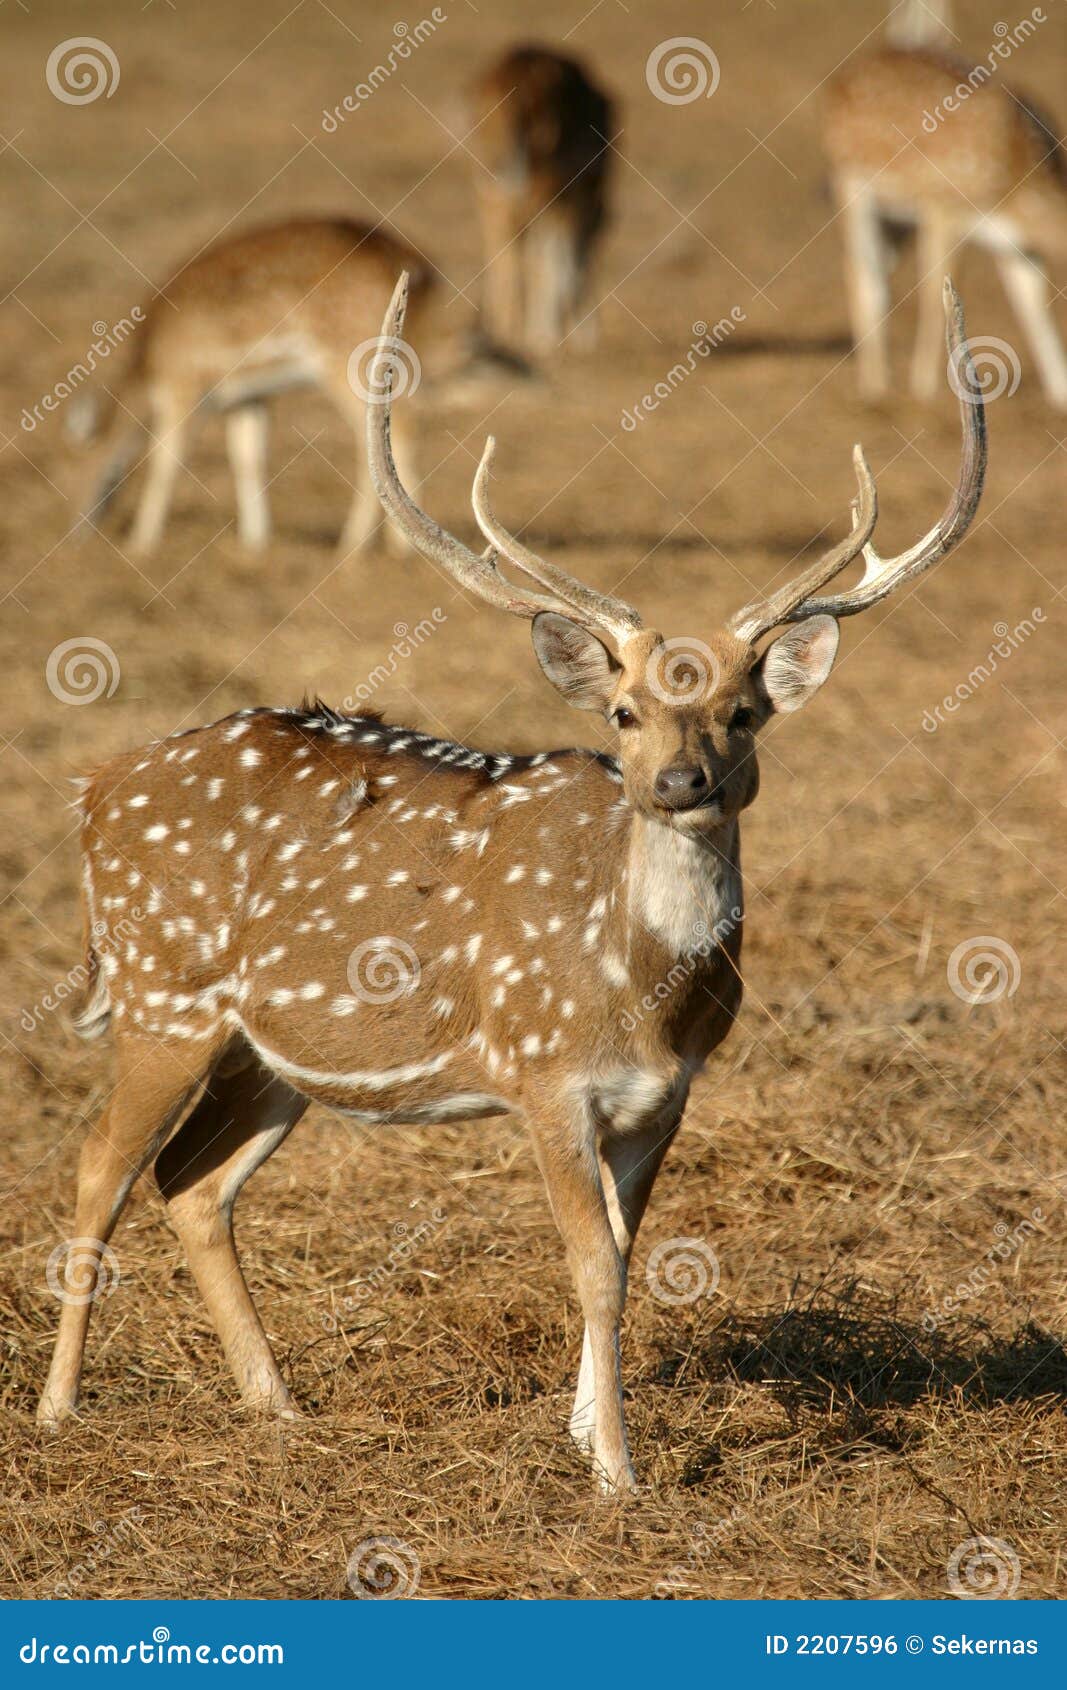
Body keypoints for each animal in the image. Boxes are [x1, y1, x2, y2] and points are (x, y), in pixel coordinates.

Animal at [37, 275, 985, 1495]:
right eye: (623, 713)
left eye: (741, 713)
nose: (679, 781)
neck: (641, 994)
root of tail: (95, 790)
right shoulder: (543, 1075)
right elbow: (593, 1267)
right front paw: (617, 1472)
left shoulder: (665, 1095)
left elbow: (625, 1252)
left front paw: (584, 1431)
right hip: (162, 992)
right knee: (98, 1166)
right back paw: (59, 1406)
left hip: (271, 1052)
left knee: (193, 1182)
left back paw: (279, 1402)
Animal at [72, 218, 522, 558]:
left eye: (71, 464)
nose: (75, 527)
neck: (148, 362)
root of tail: (417, 264)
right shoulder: (247, 396)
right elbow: (248, 456)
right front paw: (256, 543)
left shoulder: (184, 384)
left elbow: (165, 458)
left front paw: (141, 545)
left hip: (349, 358)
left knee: (394, 431)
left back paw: (361, 549)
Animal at [466, 44, 616, 352]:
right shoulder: (570, 198)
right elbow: (560, 259)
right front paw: (565, 334)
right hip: (543, 187)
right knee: (544, 257)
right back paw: (544, 334)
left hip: (492, 189)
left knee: (506, 256)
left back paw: (507, 332)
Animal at [823, 24, 1067, 404]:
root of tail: (838, 79)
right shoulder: (942, 206)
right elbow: (934, 293)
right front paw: (925, 390)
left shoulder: (1014, 240)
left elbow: (1032, 301)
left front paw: (1061, 394)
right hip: (850, 181)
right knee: (860, 270)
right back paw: (873, 387)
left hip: (896, 215)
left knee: (878, 269)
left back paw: (881, 379)